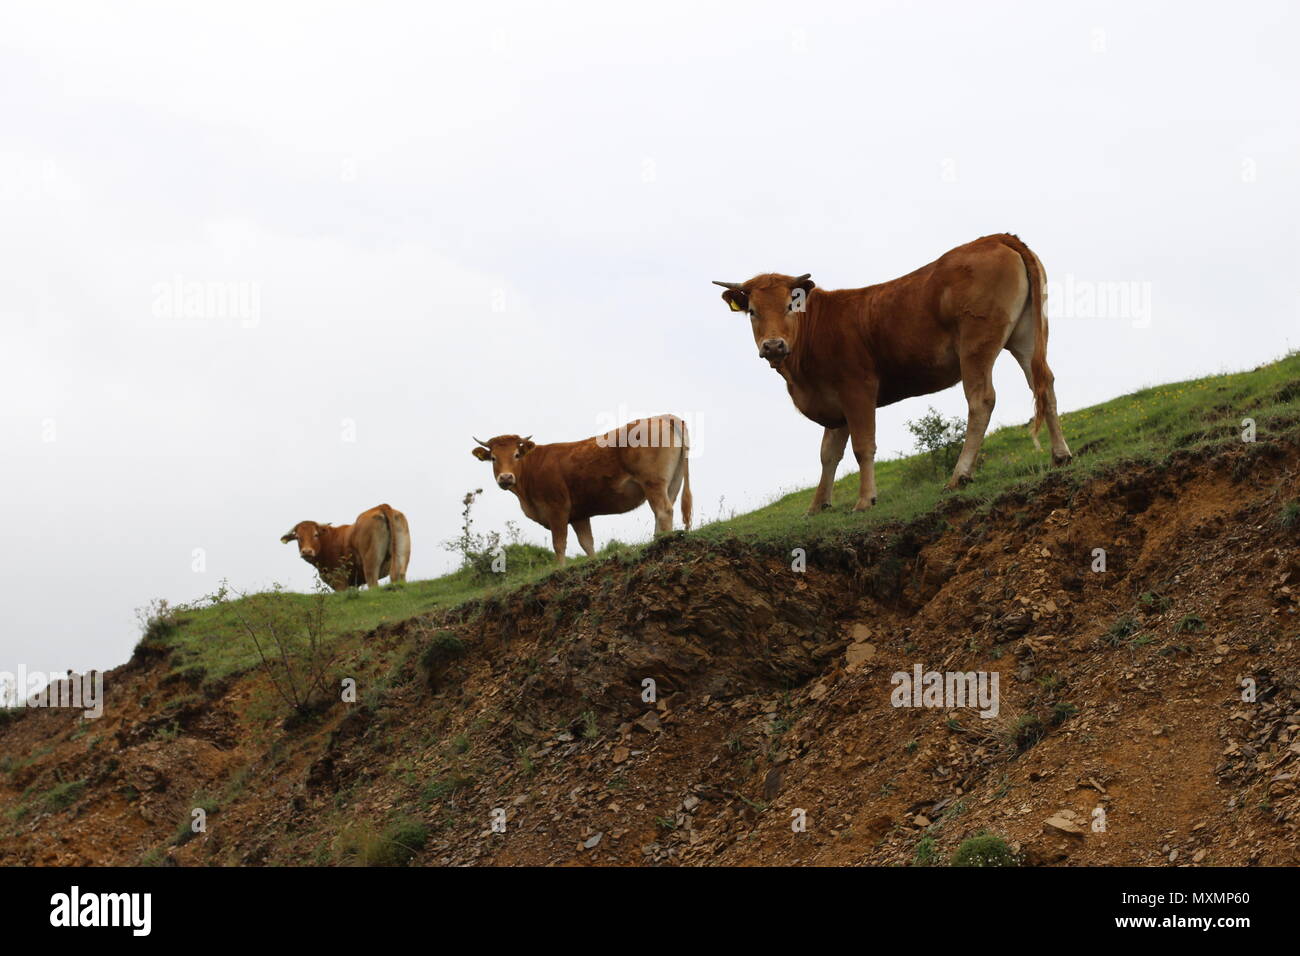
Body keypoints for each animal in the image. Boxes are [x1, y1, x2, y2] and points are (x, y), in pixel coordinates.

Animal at [280, 503, 411, 590]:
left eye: (315, 535)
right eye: (298, 537)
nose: (306, 551)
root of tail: (381, 506)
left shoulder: (340, 581)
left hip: (370, 564)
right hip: (402, 555)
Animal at [471, 415, 692, 564]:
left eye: (516, 455)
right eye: (493, 458)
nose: (506, 477)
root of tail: (663, 416)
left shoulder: (557, 508)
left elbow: (559, 544)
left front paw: (560, 569)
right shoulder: (579, 514)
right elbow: (587, 543)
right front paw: (594, 562)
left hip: (653, 482)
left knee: (663, 511)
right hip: (673, 482)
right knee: (663, 511)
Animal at [713, 233, 1072, 513]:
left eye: (791, 306)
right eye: (752, 311)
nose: (773, 345)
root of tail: (996, 237)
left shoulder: (857, 388)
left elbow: (862, 446)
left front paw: (865, 500)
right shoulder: (834, 400)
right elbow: (828, 454)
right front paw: (817, 506)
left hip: (976, 343)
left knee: (981, 400)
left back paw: (959, 475)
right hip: (1026, 336)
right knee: (1044, 385)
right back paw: (1060, 455)